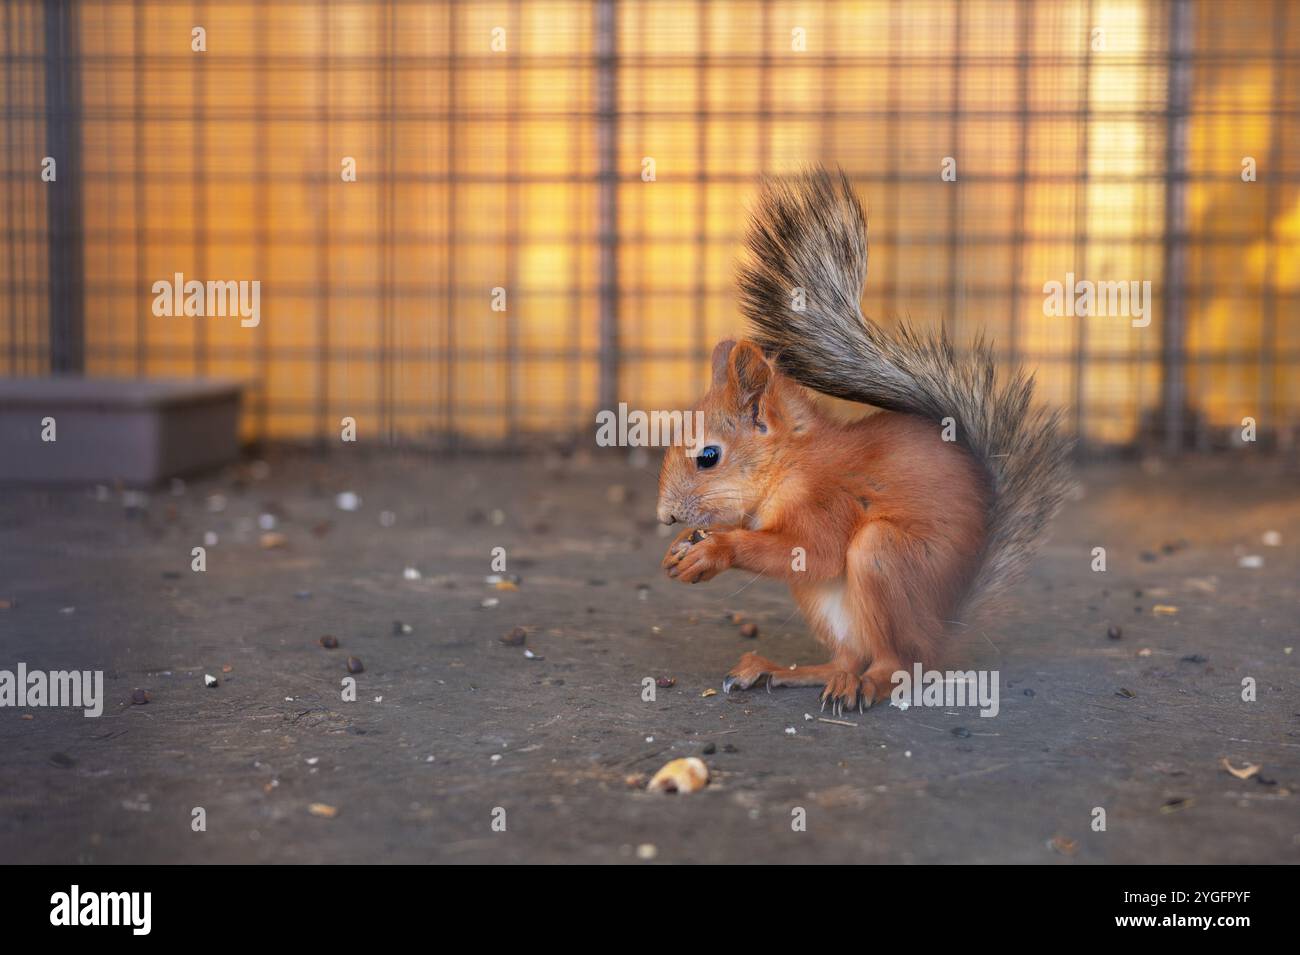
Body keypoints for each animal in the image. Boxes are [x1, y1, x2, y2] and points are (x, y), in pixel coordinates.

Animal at [657, 166, 1073, 714]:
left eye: (708, 456)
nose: (666, 516)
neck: (790, 465)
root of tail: (943, 631)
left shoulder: (827, 503)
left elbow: (816, 552)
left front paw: (714, 550)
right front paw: (681, 549)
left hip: (883, 557)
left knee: (897, 663)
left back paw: (867, 684)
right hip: (820, 601)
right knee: (848, 657)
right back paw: (783, 671)